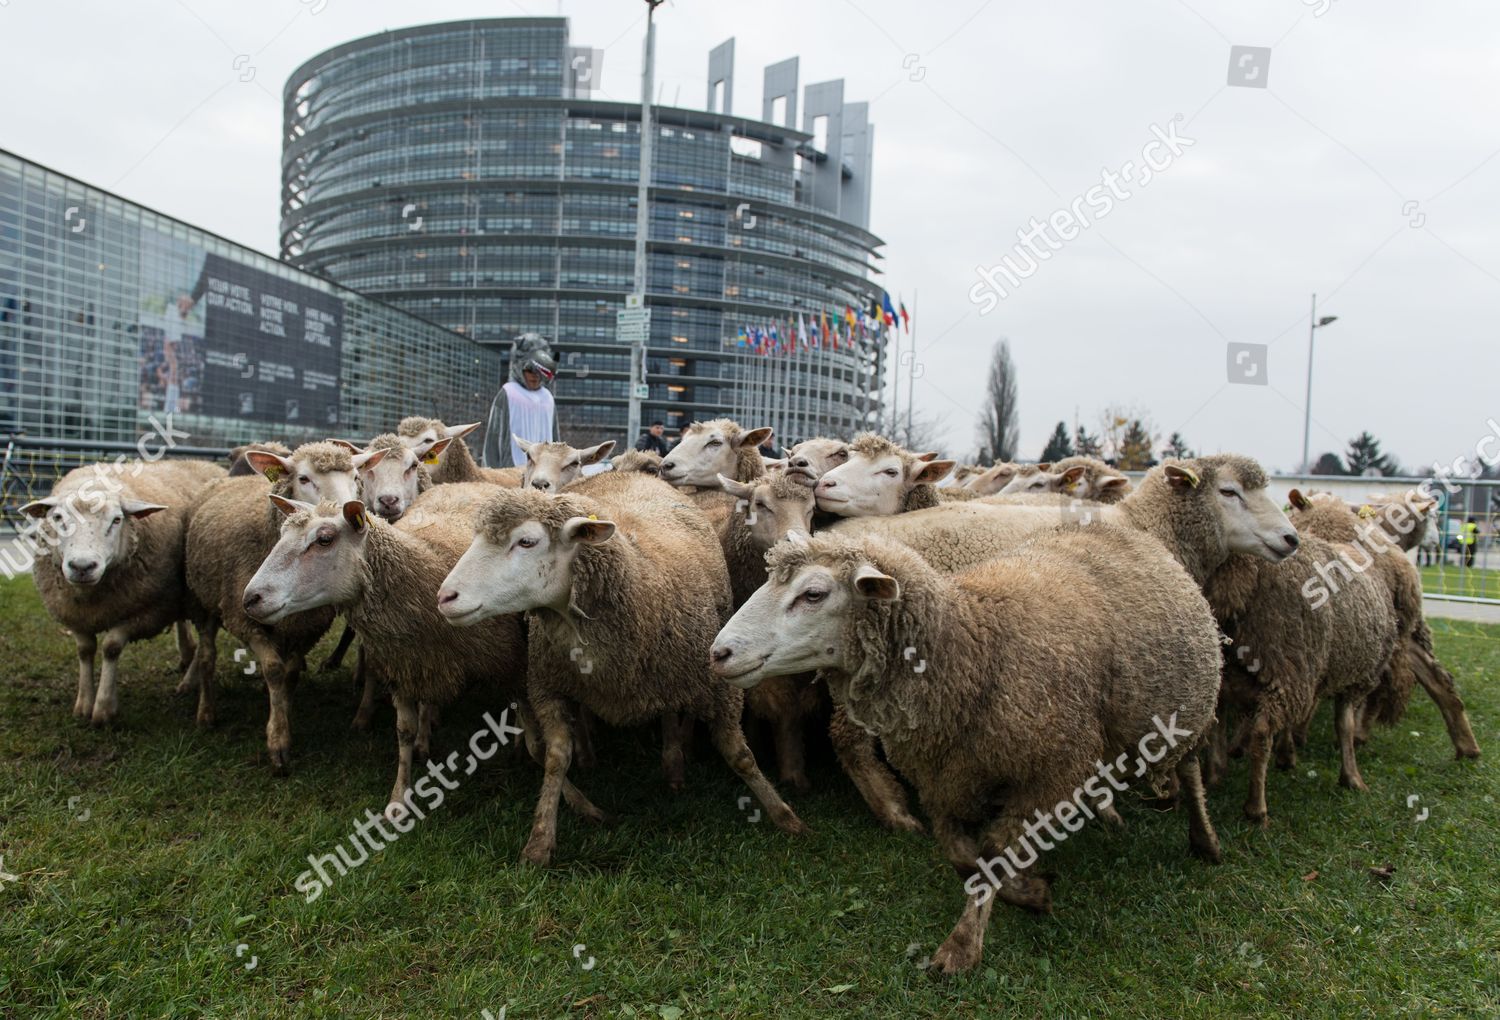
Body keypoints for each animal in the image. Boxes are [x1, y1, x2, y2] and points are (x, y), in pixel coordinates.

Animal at [22, 458, 226, 724]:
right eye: (57, 517)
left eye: (117, 520)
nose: (82, 567)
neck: (92, 597)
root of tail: (202, 462)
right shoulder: (74, 614)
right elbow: (85, 650)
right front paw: (84, 704)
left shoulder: (146, 612)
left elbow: (111, 647)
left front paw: (104, 708)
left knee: (206, 643)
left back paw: (190, 682)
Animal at [183, 442, 385, 770]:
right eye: (303, 478)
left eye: (357, 477)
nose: (350, 519)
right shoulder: (245, 618)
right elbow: (275, 671)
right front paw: (277, 740)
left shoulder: (308, 626)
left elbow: (289, 674)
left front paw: (285, 714)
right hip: (207, 600)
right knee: (207, 655)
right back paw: (205, 712)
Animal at [436, 470, 806, 865]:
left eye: (526, 541)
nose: (445, 598)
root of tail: (629, 471)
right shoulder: (547, 686)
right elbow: (555, 757)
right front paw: (542, 839)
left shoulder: (719, 683)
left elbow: (739, 755)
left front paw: (785, 816)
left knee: (671, 712)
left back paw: (674, 763)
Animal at [710, 525, 1225, 975]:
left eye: (813, 594)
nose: (718, 653)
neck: (975, 649)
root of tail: (1126, 530)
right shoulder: (945, 778)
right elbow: (962, 855)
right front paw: (1029, 889)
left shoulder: (1046, 776)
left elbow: (994, 851)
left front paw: (962, 947)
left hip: (1188, 719)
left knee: (1191, 772)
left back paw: (1205, 841)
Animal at [1287, 491, 1481, 759]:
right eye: (1429, 518)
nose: (1435, 543)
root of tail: (1400, 569)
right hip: (1392, 630)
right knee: (1433, 675)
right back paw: (1466, 746)